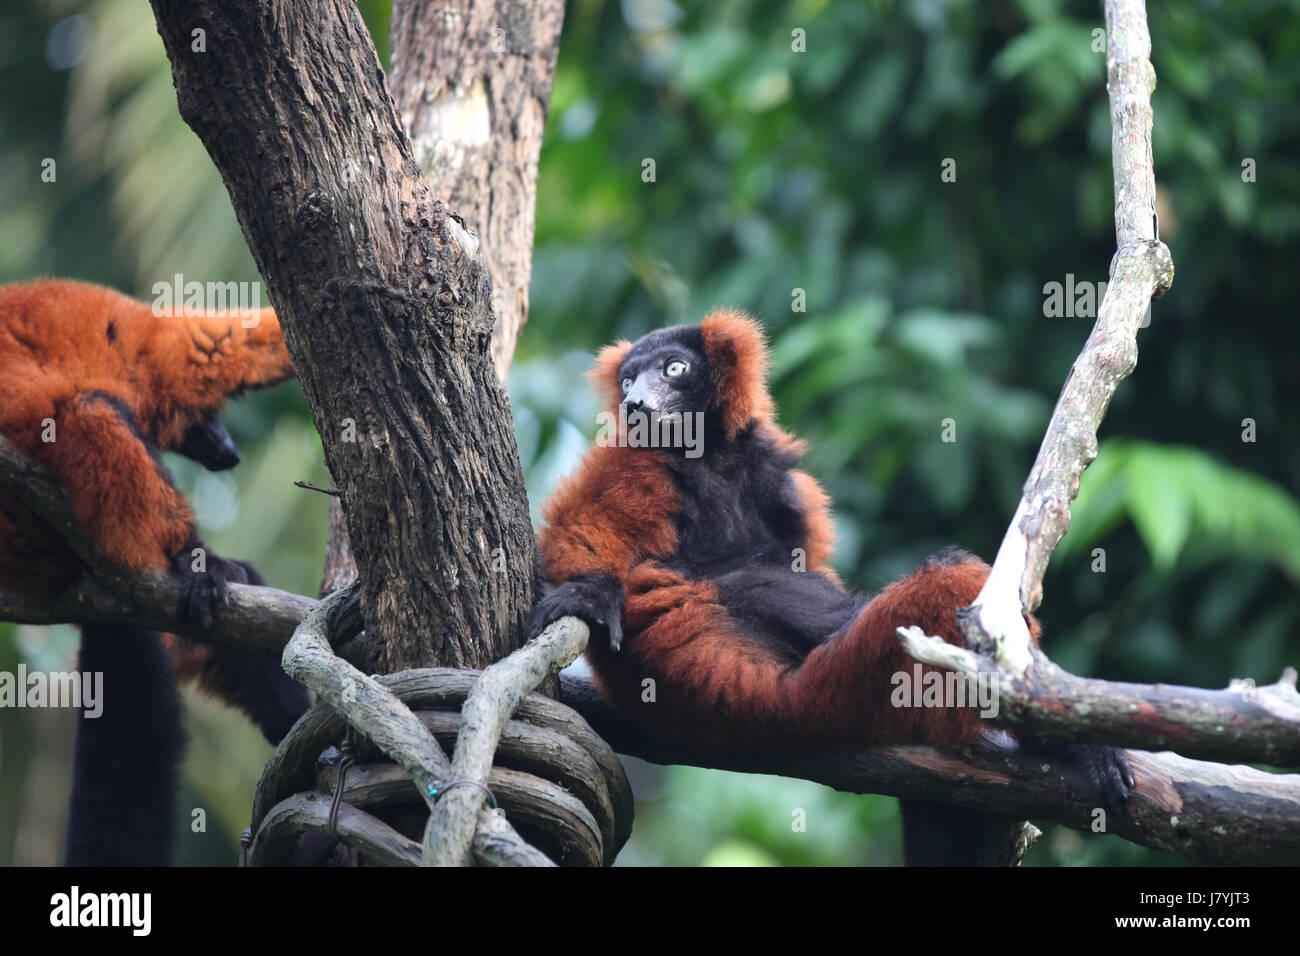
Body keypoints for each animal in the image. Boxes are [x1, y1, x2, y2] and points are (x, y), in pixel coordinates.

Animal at [531, 310, 1133, 865]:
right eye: (628, 380)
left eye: (673, 369)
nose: (635, 404)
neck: (709, 455)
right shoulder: (637, 459)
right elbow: (577, 532)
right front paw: (591, 593)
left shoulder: (768, 469)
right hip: (844, 688)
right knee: (946, 583)